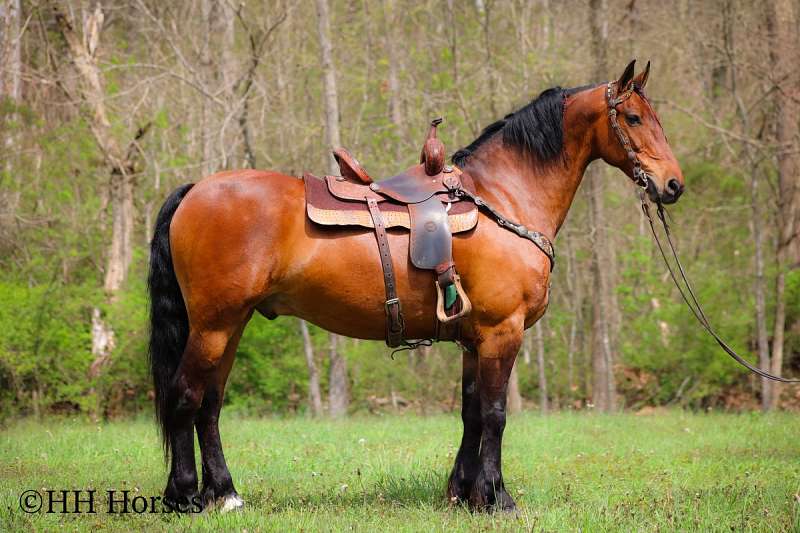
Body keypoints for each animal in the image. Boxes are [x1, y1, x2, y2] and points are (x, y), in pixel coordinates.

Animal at [147, 60, 684, 512]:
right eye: (633, 118)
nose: (673, 185)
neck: (502, 197)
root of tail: (194, 190)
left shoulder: (474, 337)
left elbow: (471, 412)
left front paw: (464, 493)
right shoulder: (502, 331)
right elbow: (495, 414)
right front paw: (497, 498)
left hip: (231, 325)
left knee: (209, 405)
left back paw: (225, 494)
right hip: (214, 325)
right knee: (185, 397)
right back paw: (184, 496)